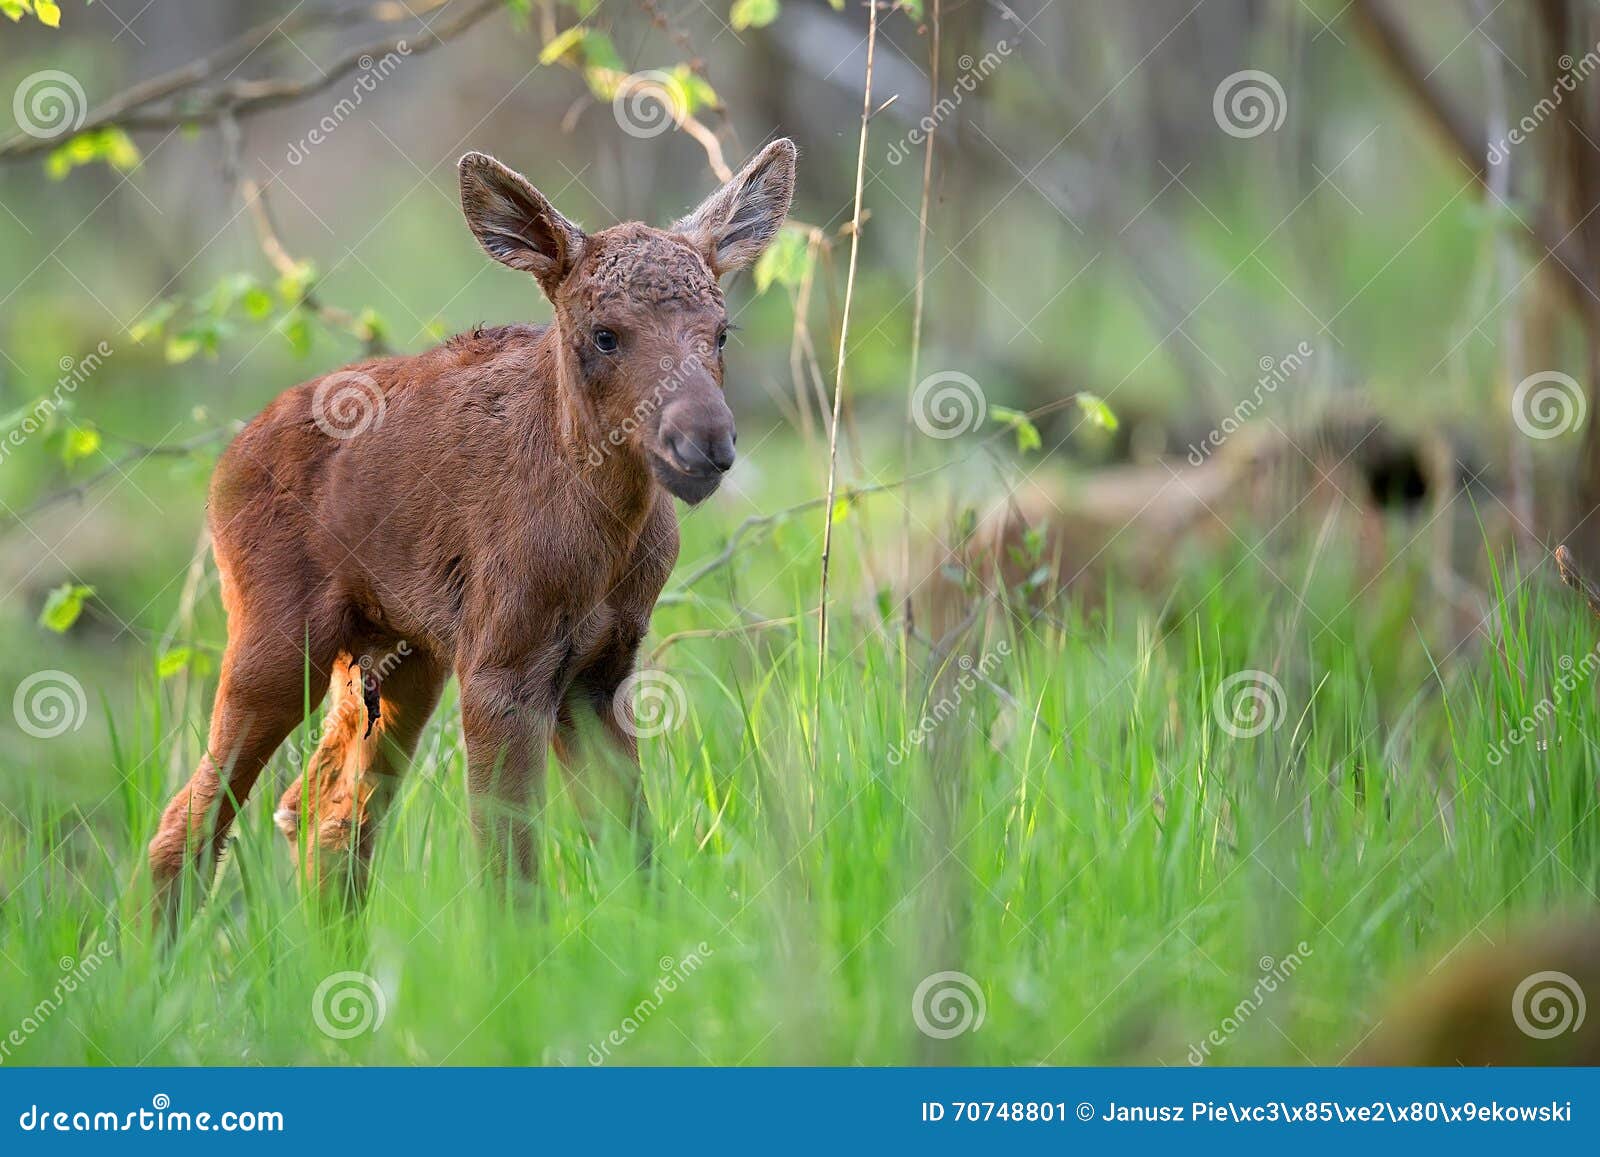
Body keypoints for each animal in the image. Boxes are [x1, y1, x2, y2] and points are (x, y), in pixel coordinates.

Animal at [147, 138, 798, 924]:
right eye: (604, 335)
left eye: (721, 332)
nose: (706, 441)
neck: (606, 538)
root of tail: (228, 457)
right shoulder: (500, 668)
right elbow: (510, 874)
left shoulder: (600, 672)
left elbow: (635, 854)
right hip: (276, 641)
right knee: (190, 821)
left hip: (398, 658)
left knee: (325, 816)